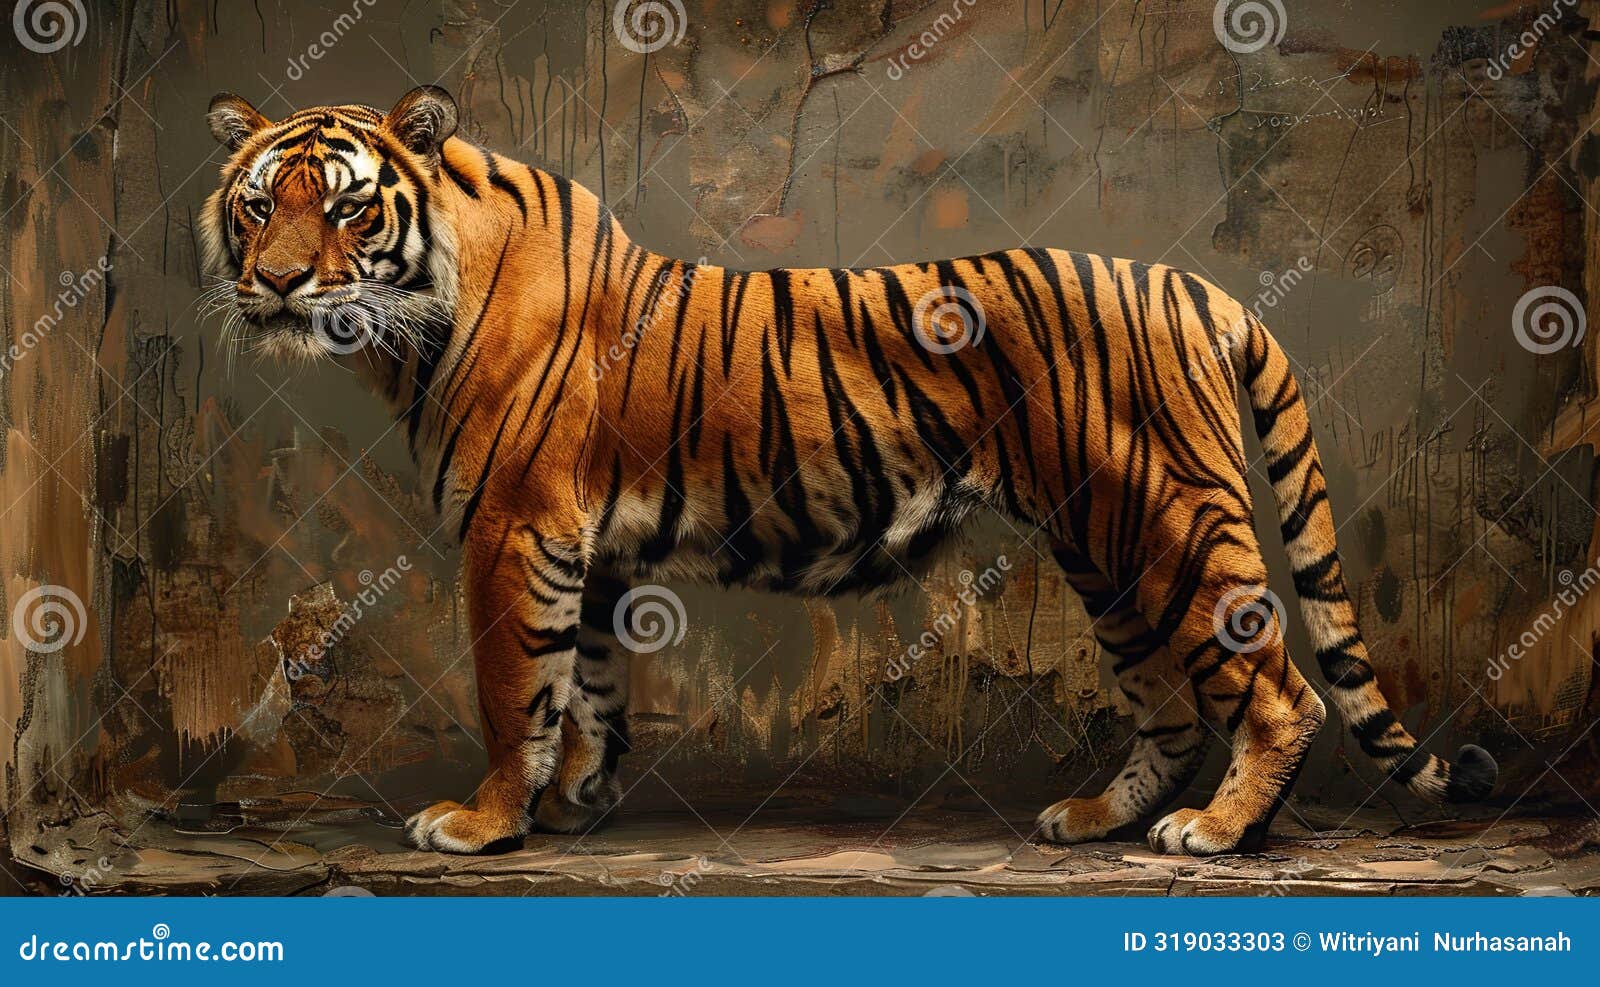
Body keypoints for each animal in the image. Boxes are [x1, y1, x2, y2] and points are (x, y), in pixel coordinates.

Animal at [199, 86, 1497, 857]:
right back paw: (1090, 817)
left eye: (346, 210)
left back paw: (1213, 834)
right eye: (259, 205)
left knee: (1277, 689)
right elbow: (590, 688)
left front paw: (483, 822)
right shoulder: (591, 550)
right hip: (1106, 550)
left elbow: (513, 687)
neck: (416, 312)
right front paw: (578, 802)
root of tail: (1194, 283)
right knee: (1167, 704)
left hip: (1175, 526)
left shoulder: (514, 530)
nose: (273, 283)